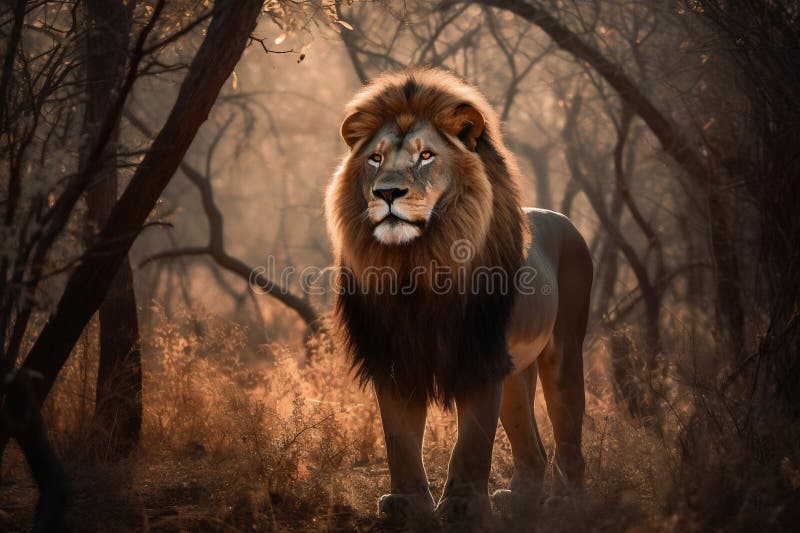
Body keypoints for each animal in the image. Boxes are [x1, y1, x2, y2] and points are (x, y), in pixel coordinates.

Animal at [325, 67, 592, 527]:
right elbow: (398, 439)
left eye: (425, 155)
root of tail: (566, 221)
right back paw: (519, 500)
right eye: (375, 158)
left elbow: (472, 443)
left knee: (568, 431)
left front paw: (463, 506)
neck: (416, 265)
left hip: (564, 351)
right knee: (533, 447)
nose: (386, 193)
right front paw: (407, 504)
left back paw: (566, 502)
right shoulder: (394, 357)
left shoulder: (478, 357)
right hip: (515, 372)